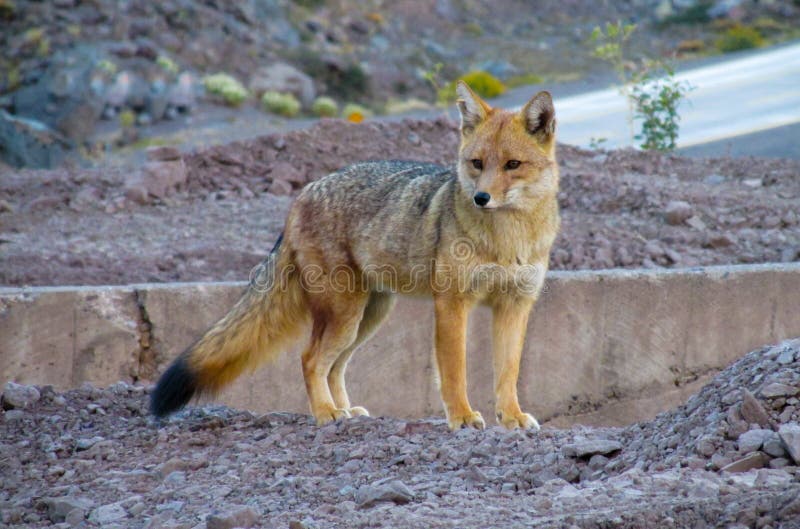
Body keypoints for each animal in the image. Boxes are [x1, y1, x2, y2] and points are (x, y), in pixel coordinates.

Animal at [150, 81, 560, 430]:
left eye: (512, 165)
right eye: (477, 163)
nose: (480, 198)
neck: (508, 240)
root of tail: (305, 191)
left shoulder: (514, 305)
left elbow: (507, 373)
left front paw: (511, 417)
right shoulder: (452, 304)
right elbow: (454, 371)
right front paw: (461, 416)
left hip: (367, 317)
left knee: (334, 367)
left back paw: (345, 410)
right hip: (346, 314)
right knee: (311, 359)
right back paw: (325, 413)